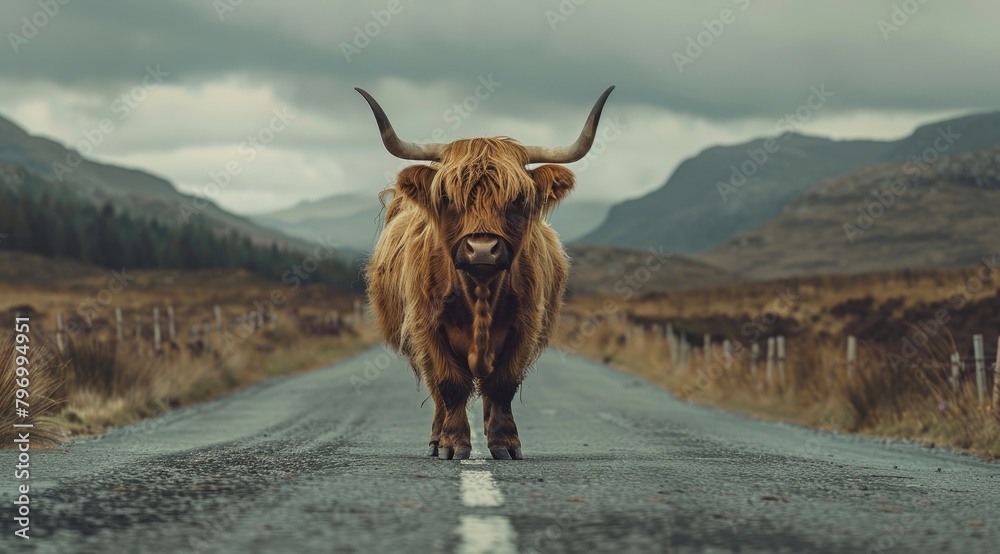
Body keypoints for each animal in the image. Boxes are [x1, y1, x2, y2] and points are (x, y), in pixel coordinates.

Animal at [359, 86, 615, 460]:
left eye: (519, 198)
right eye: (447, 197)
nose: (481, 249)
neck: (480, 292)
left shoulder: (525, 325)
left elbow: (502, 384)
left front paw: (505, 443)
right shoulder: (426, 325)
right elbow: (449, 384)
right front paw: (453, 443)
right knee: (438, 389)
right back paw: (436, 439)